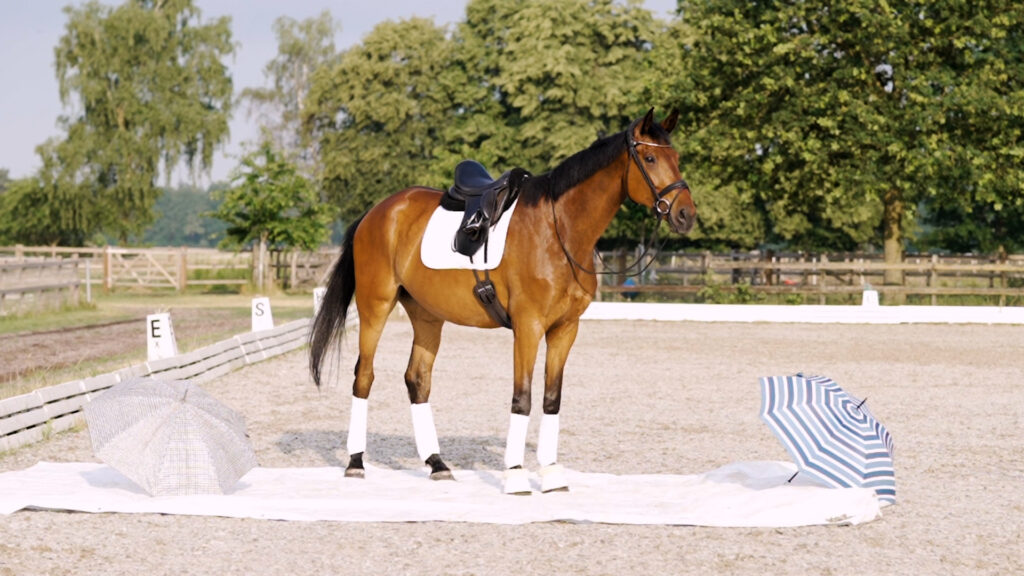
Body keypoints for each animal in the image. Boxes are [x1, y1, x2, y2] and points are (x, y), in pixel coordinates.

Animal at [309, 109, 696, 494]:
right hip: (375, 306)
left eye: (677, 158)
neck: (558, 231)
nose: (686, 215)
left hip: (427, 316)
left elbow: (551, 398)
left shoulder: (565, 329)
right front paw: (515, 475)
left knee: (418, 379)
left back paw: (437, 465)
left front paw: (551, 474)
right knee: (364, 376)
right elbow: (522, 398)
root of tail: (377, 212)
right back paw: (356, 462)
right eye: (649, 158)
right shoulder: (528, 327)